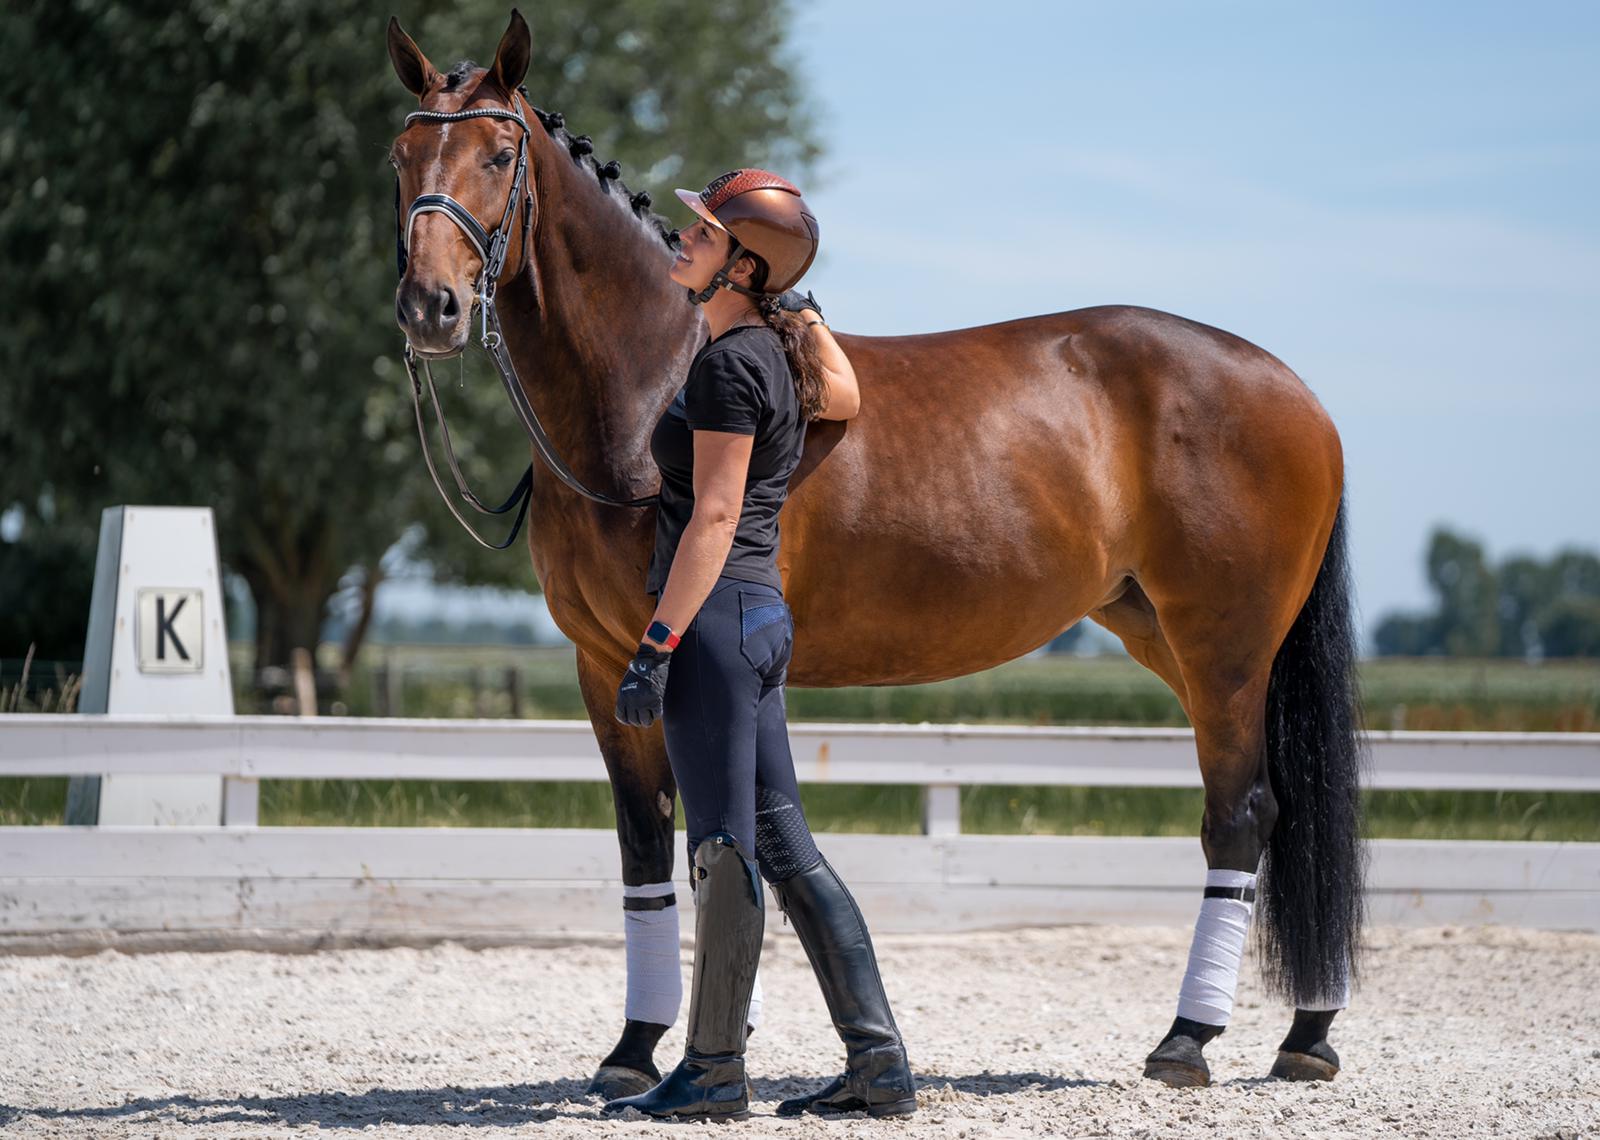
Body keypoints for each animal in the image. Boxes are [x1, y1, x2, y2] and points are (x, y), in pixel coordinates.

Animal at [386, 11, 1364, 1097]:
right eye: (401, 154)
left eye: (499, 153)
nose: (429, 307)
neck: (649, 385)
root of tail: (1292, 389)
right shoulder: (606, 667)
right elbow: (649, 847)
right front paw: (636, 1051)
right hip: (1166, 635)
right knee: (1289, 813)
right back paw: (1306, 1032)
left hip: (1224, 647)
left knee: (1241, 814)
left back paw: (1188, 1040)